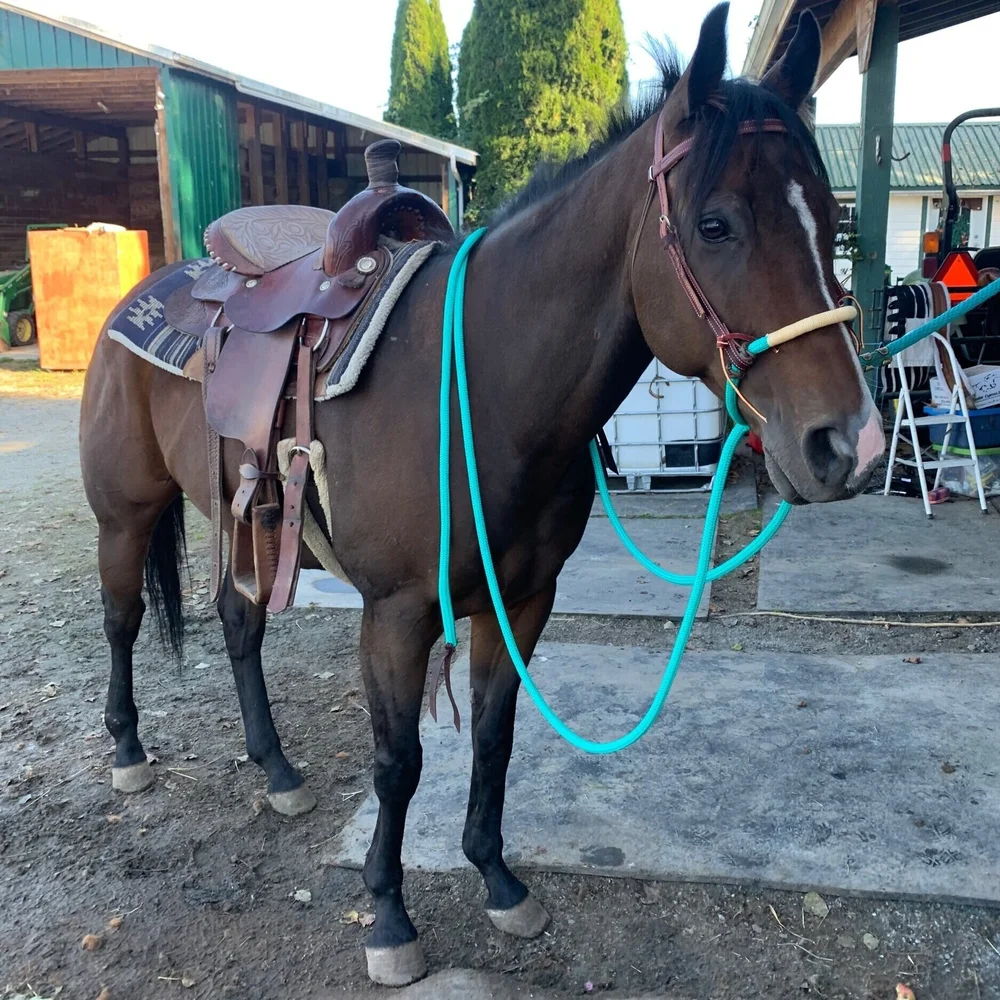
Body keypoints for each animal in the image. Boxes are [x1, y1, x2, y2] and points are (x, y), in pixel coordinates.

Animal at [79, 4, 884, 985]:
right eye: (716, 223)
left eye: (830, 216)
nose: (850, 443)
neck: (482, 387)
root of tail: (154, 285)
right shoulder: (394, 614)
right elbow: (399, 762)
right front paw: (390, 921)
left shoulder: (524, 600)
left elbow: (496, 739)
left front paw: (499, 881)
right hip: (125, 514)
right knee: (121, 621)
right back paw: (128, 751)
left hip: (248, 524)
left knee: (240, 627)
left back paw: (276, 773)